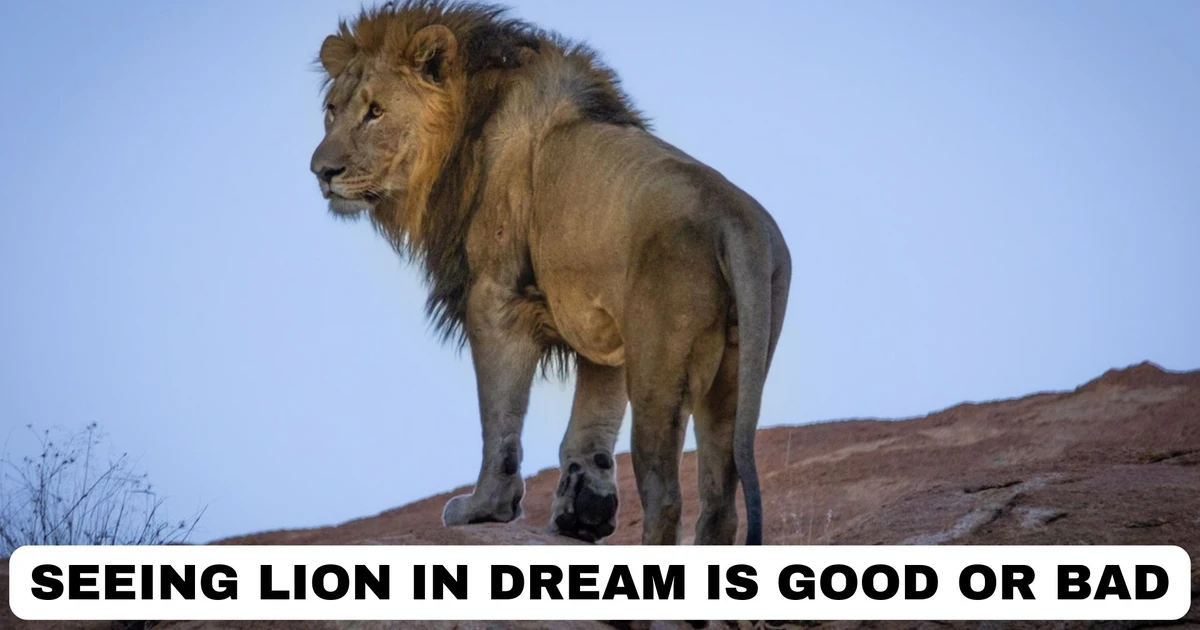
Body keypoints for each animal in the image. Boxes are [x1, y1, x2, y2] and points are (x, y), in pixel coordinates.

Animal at [309, 1, 791, 545]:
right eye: (332, 110)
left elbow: (499, 419)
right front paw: (583, 515)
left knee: (666, 496)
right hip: (733, 374)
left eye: (375, 111)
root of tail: (737, 220)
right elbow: (591, 425)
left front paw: (485, 507)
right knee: (719, 502)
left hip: (660, 372)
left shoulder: (496, 300)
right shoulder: (605, 327)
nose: (321, 171)